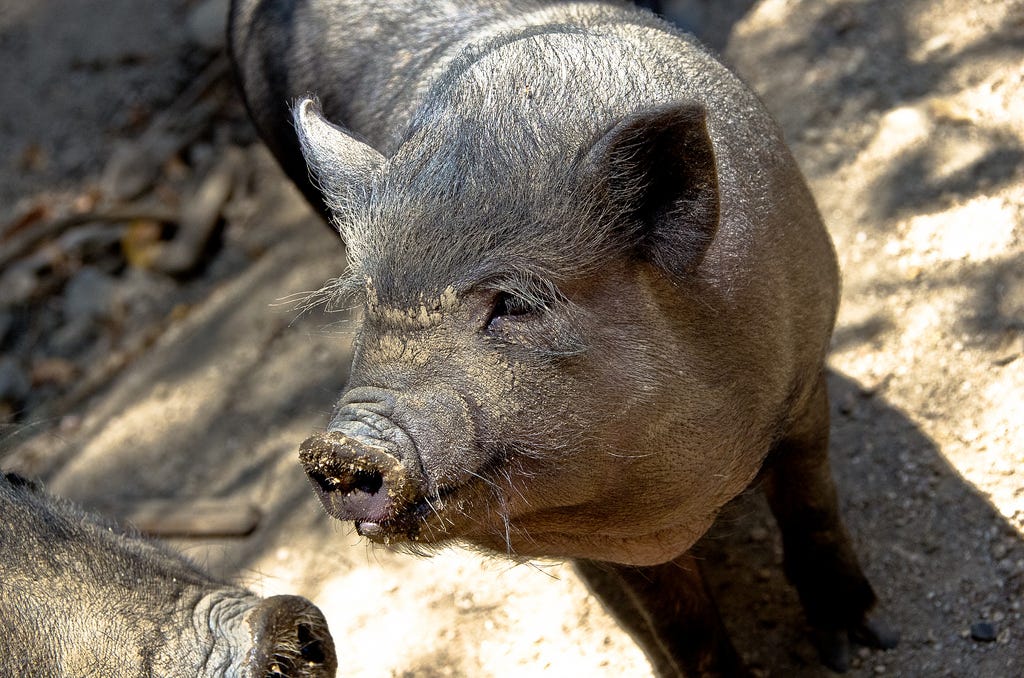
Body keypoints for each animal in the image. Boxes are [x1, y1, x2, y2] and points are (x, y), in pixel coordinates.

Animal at [228, 0, 897, 674]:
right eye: (369, 302)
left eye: (516, 302)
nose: (339, 446)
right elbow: (681, 626)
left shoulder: (803, 384)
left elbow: (812, 507)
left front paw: (861, 642)